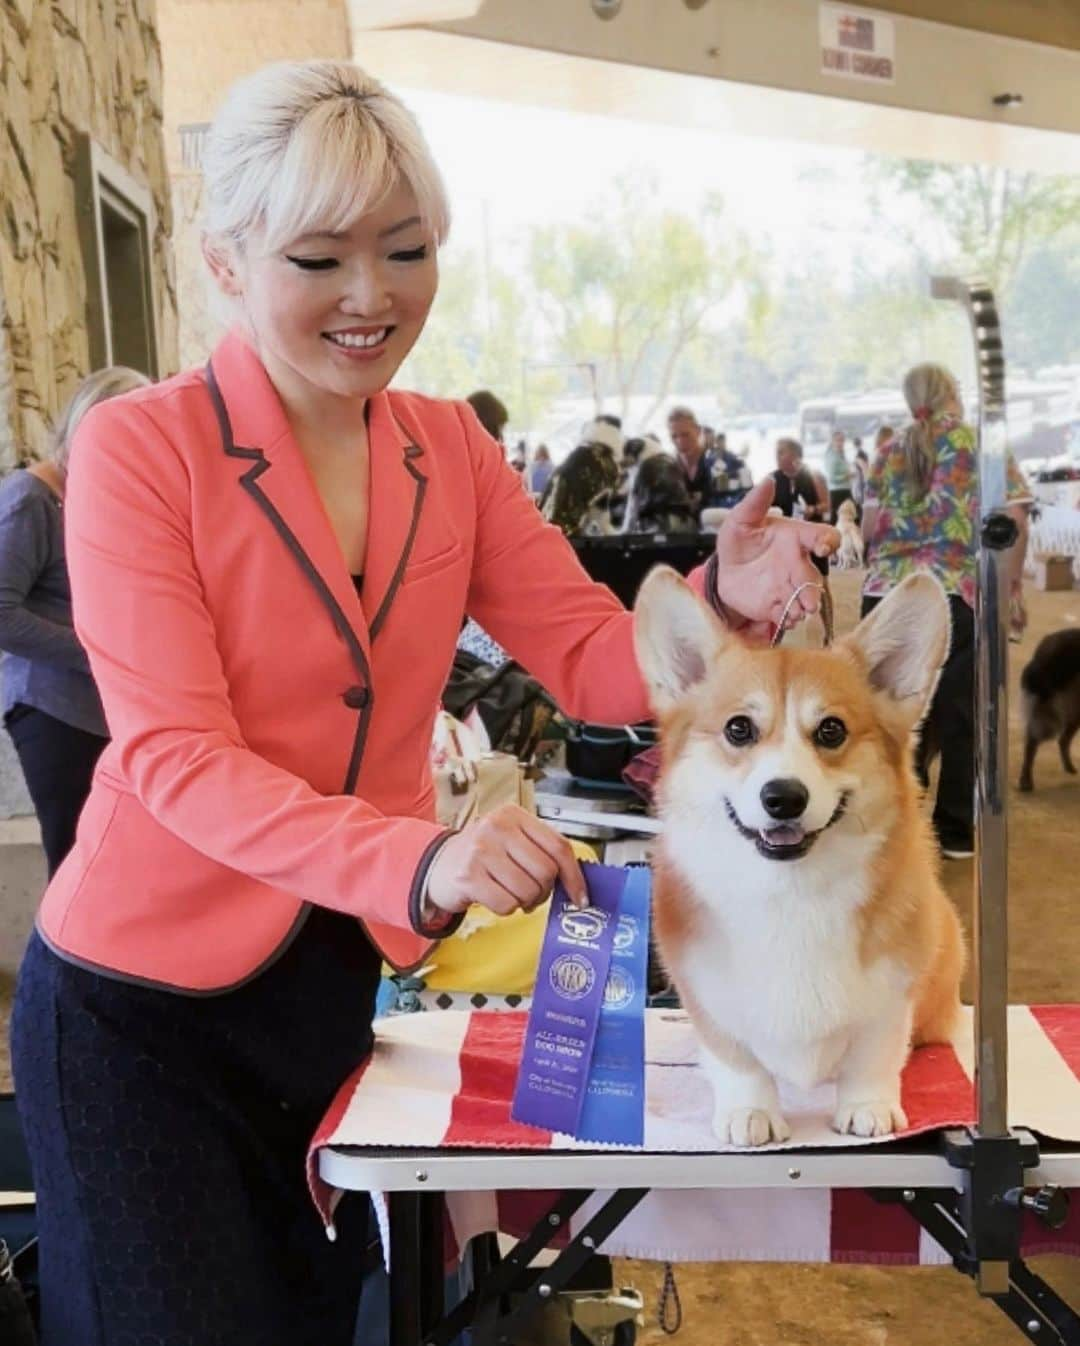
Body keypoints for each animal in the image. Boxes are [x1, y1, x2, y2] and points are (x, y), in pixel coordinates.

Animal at [630, 568, 958, 1146]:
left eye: (832, 730)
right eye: (738, 729)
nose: (783, 797)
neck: (790, 890)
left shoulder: (892, 996)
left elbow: (873, 1054)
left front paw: (867, 1107)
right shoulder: (706, 998)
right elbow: (737, 1060)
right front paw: (750, 1112)